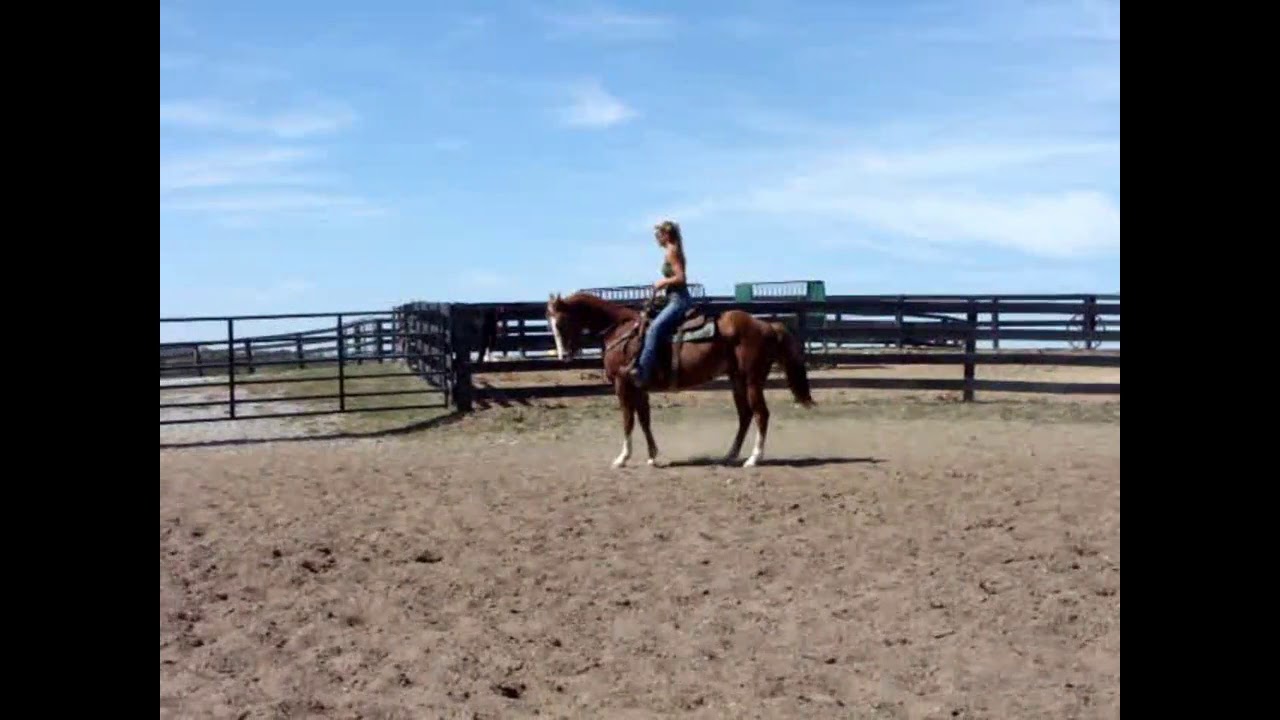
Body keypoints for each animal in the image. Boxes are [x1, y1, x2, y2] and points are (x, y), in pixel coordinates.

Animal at [545, 290, 814, 468]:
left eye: (562, 322)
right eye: (550, 323)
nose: (563, 356)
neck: (622, 331)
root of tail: (765, 326)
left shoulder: (623, 385)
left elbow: (628, 421)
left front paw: (622, 458)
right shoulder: (639, 387)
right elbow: (644, 420)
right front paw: (652, 455)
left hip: (751, 380)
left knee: (760, 414)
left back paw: (754, 458)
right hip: (737, 380)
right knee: (745, 415)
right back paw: (730, 454)